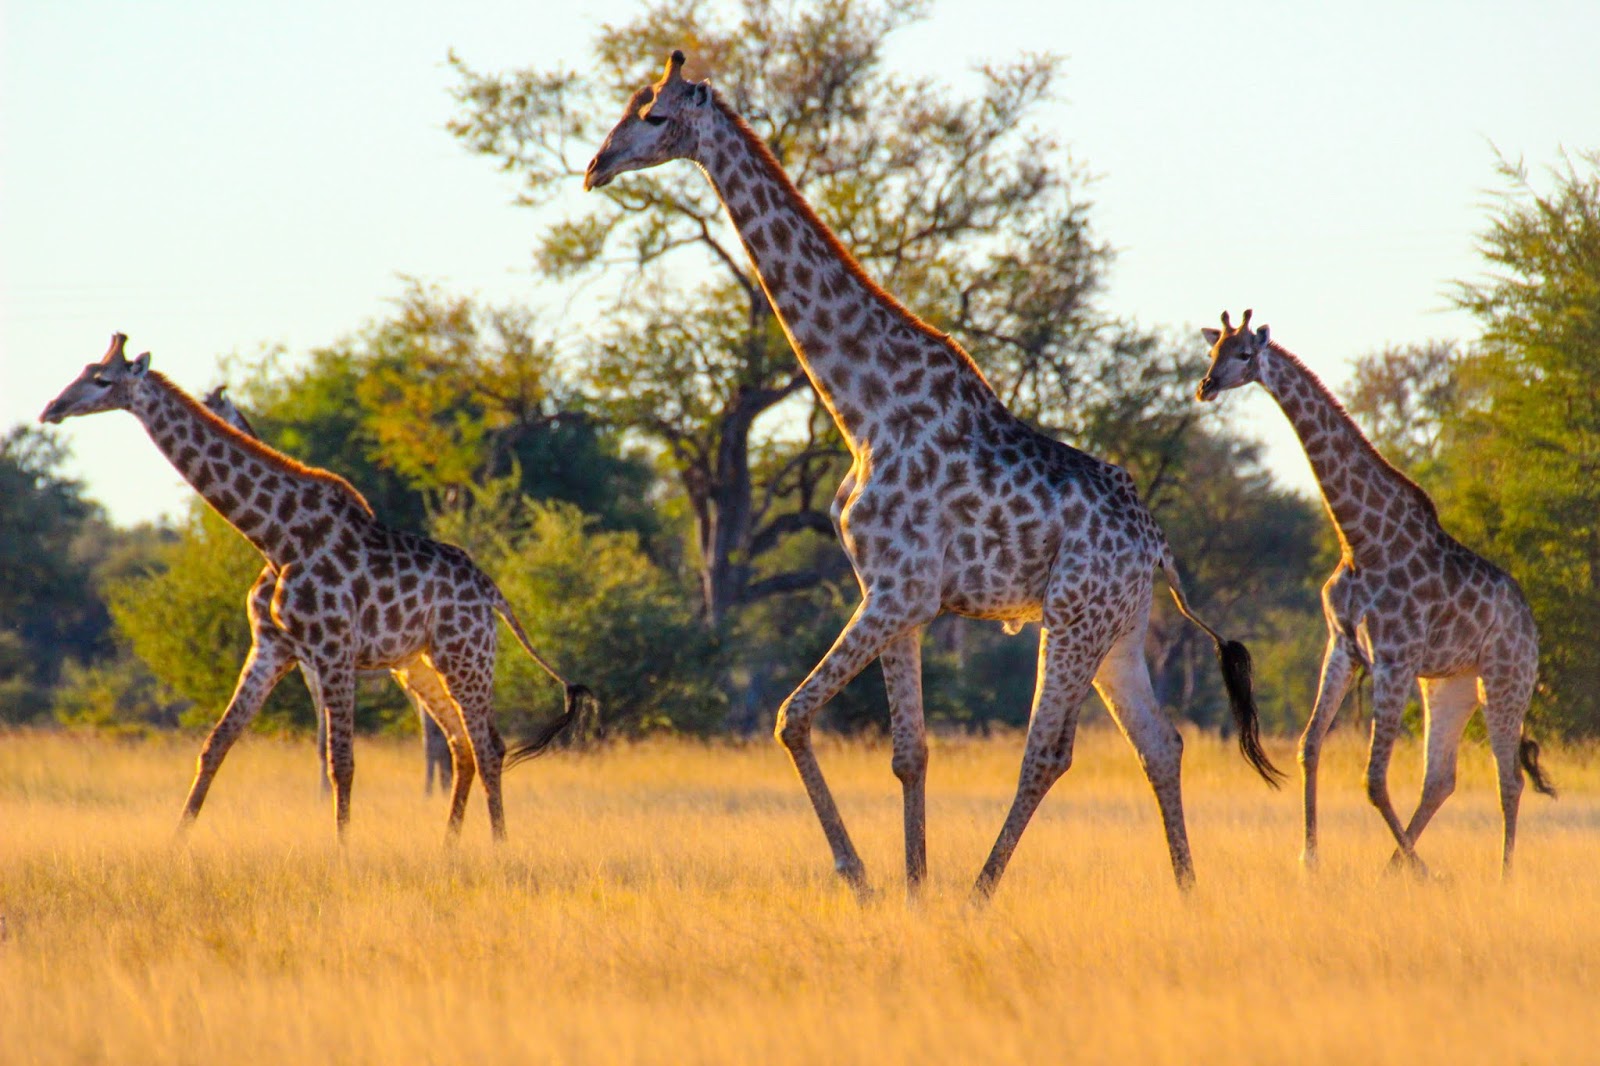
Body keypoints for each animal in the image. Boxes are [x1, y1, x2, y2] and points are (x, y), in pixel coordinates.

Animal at [199, 385, 454, 796]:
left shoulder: (314, 660)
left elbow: (323, 737)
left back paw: (431, 792)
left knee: (432, 729)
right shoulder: (304, 661)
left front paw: (322, 796)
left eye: (215, 407)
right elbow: (322, 738)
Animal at [585, 52, 1282, 895]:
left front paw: (861, 875)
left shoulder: (899, 590)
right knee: (1162, 744)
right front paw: (911, 887)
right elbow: (908, 753)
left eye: (654, 116)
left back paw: (981, 892)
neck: (863, 406)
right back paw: (1185, 892)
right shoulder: (896, 598)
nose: (595, 167)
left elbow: (792, 716)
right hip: (1119, 632)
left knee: (1047, 753)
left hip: (1072, 619)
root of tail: (1159, 549)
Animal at [1196, 310, 1555, 875]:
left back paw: (1500, 874)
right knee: (1441, 779)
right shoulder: (1343, 646)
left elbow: (1371, 779)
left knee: (1510, 779)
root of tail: (1530, 621)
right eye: (1212, 352)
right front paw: (1309, 858)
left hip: (1505, 679)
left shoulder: (1392, 658)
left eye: (1245, 354)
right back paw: (1395, 866)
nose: (1205, 387)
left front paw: (1424, 874)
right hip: (1448, 685)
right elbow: (1309, 747)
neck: (1360, 539)